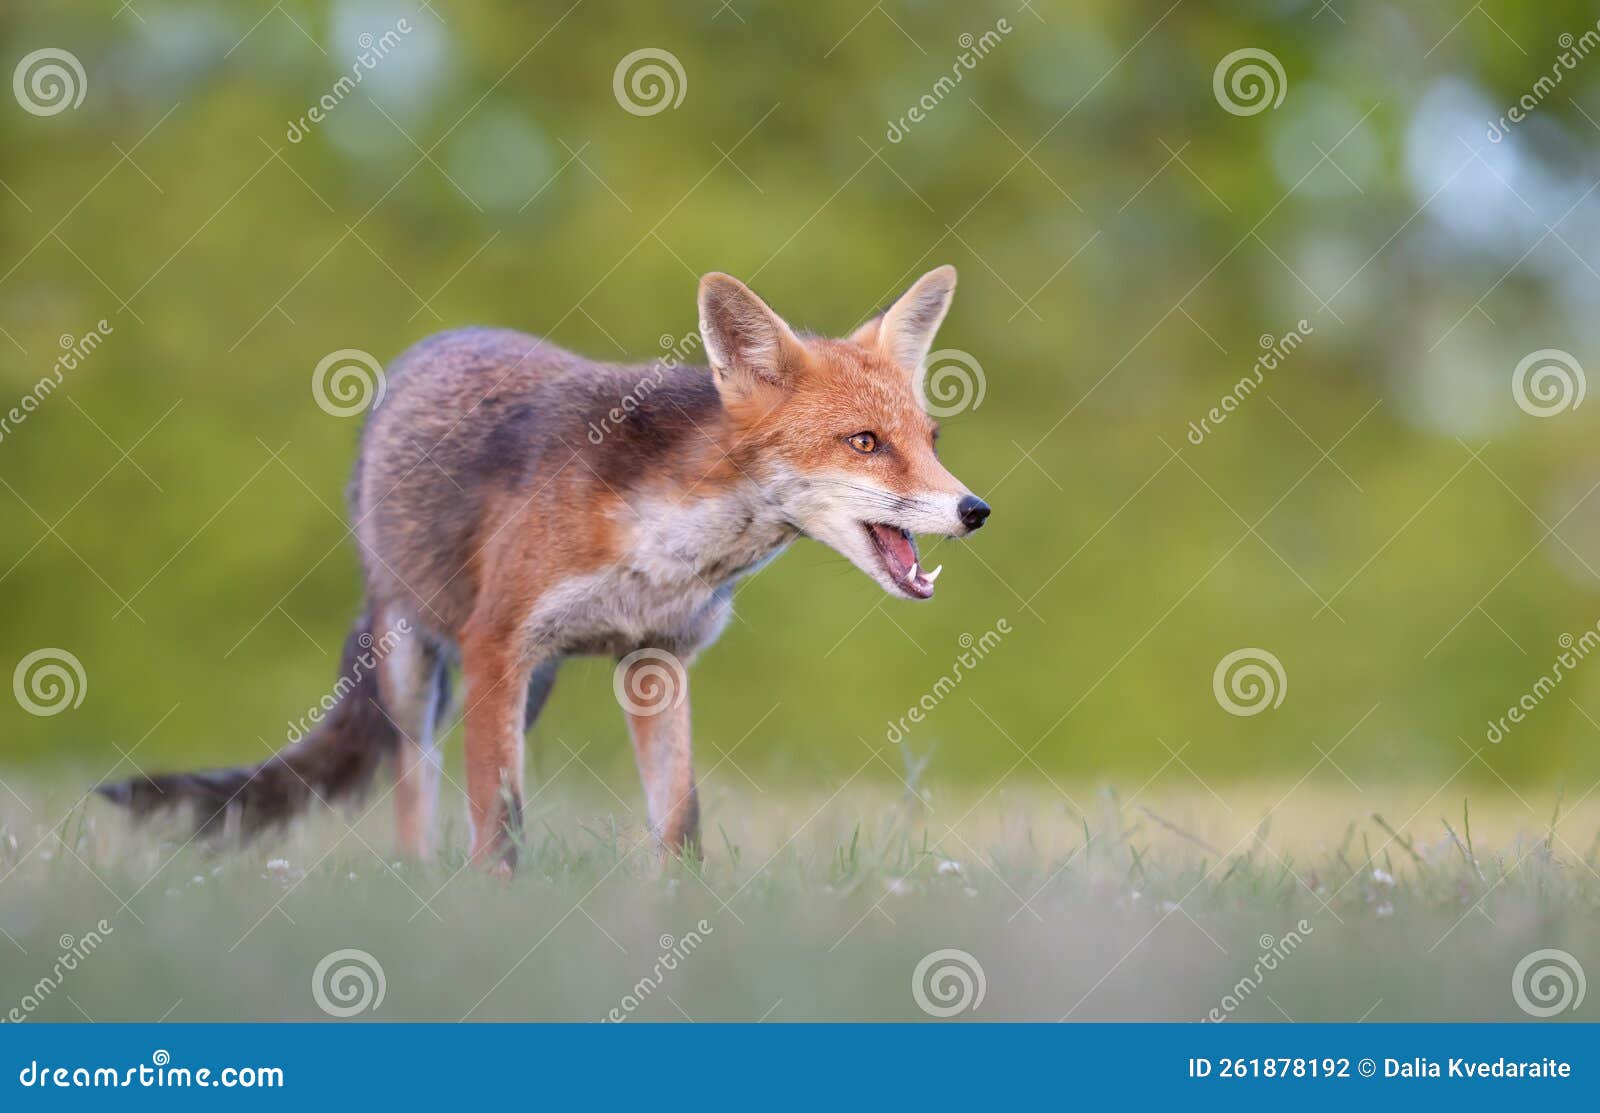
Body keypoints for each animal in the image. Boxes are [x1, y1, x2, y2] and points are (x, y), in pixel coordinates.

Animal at [98, 265, 991, 868]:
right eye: (865, 442)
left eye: (931, 440)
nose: (975, 509)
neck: (668, 547)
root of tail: (438, 340)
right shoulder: (497, 643)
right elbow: (502, 827)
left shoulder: (655, 660)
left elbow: (679, 821)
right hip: (419, 661)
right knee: (414, 785)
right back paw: (413, 885)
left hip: (525, 689)